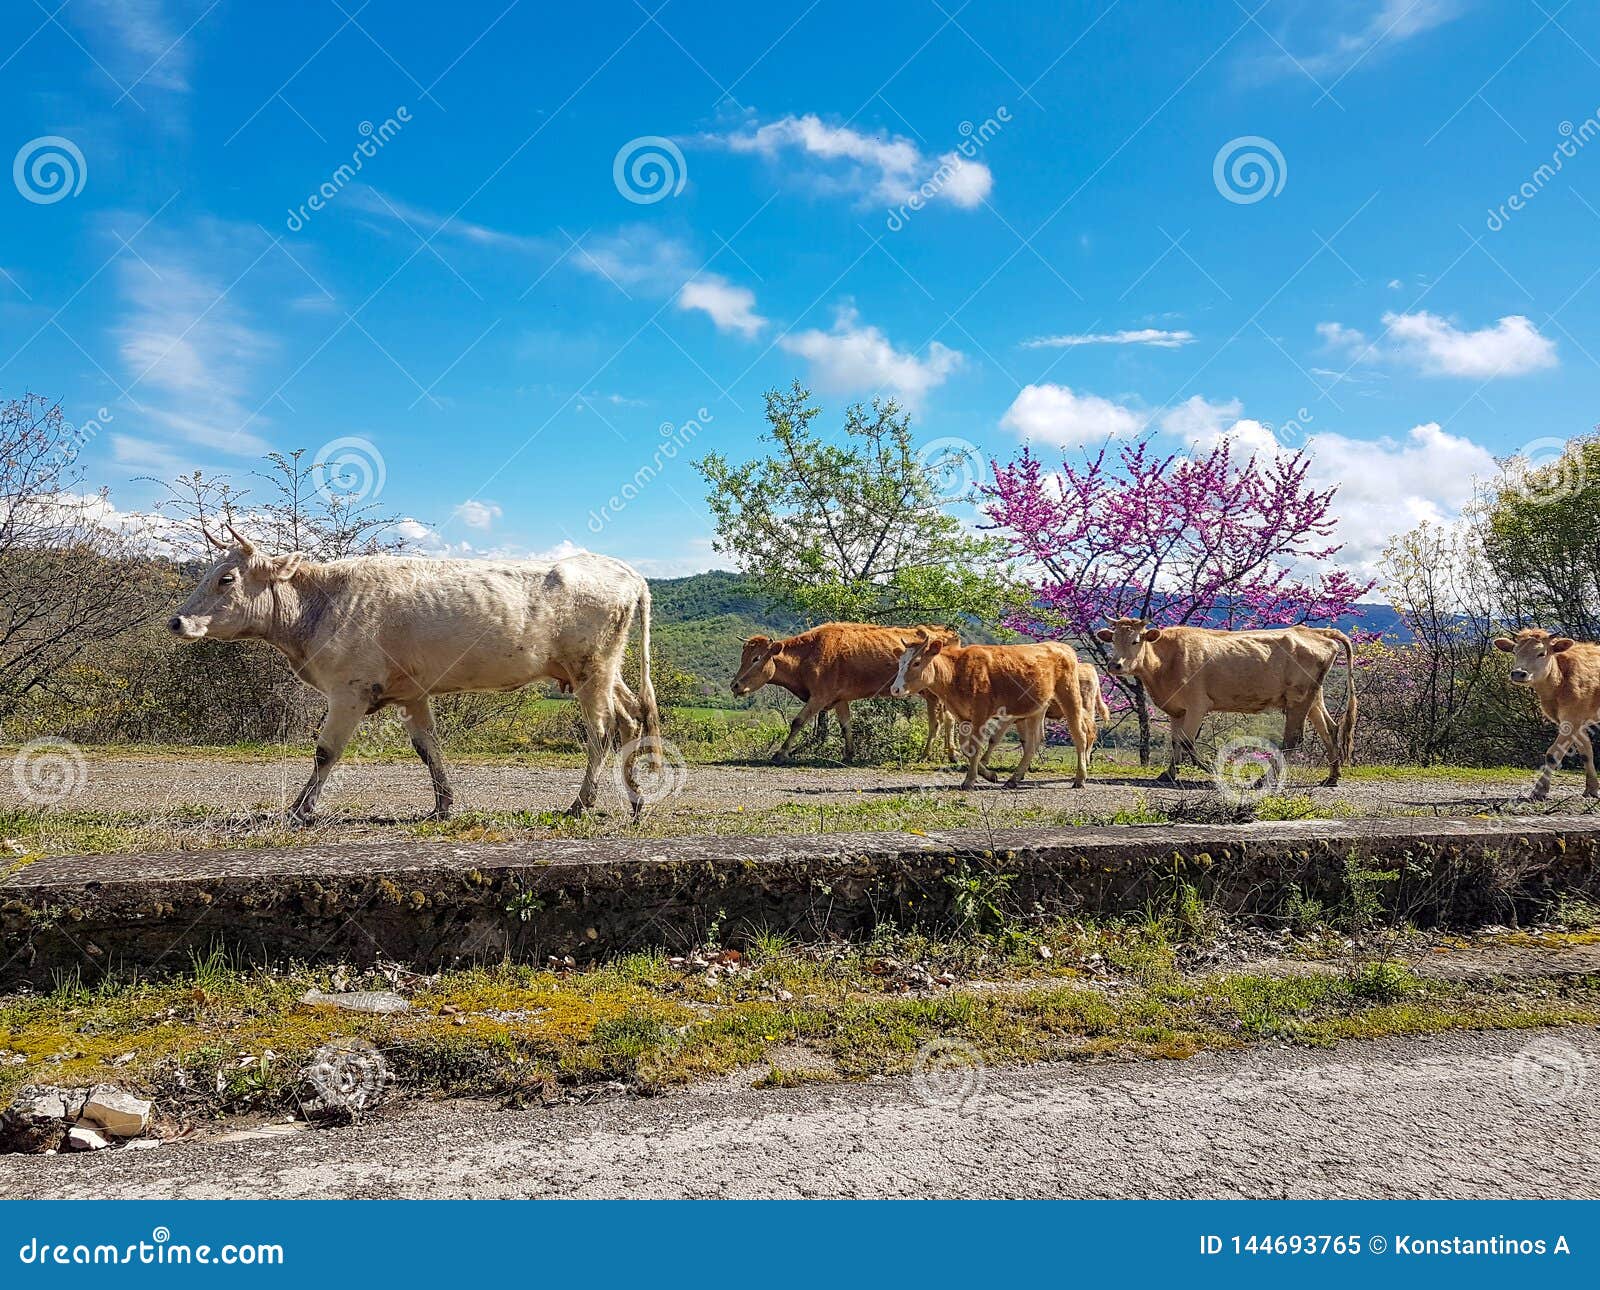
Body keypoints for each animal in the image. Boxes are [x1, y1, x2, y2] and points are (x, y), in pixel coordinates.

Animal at [169, 526, 662, 822]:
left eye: (227, 579)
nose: (176, 622)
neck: (317, 606)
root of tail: (627, 571)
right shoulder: (412, 693)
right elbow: (429, 750)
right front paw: (443, 807)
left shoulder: (348, 690)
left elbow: (326, 753)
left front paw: (299, 811)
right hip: (602, 669)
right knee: (632, 718)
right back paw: (635, 801)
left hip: (592, 668)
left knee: (602, 732)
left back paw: (582, 804)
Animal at [730, 623, 961, 763]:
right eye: (744, 657)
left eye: (756, 658)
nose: (735, 685)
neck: (808, 654)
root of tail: (945, 632)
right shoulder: (839, 698)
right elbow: (846, 726)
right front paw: (849, 755)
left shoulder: (819, 696)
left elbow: (797, 721)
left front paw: (780, 753)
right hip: (933, 694)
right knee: (944, 720)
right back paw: (943, 754)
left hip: (935, 693)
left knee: (941, 721)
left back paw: (935, 755)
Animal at [890, 632, 1091, 789]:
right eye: (900, 663)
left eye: (916, 662)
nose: (895, 689)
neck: (955, 672)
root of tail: (1061, 646)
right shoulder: (963, 716)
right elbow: (966, 747)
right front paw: (989, 774)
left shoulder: (981, 713)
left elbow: (975, 746)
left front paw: (969, 781)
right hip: (1037, 707)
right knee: (1034, 742)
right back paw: (1014, 778)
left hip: (1069, 694)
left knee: (1079, 735)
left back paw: (1080, 778)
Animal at [1094, 618, 1356, 787]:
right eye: (1113, 639)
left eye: (1136, 640)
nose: (1115, 665)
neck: (1164, 662)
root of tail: (1318, 632)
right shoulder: (1176, 709)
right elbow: (1176, 742)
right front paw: (1169, 774)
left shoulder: (1197, 705)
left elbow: (1187, 741)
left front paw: (1207, 767)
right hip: (1313, 697)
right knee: (1330, 729)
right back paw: (1332, 777)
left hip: (1298, 698)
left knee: (1294, 739)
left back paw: (1263, 780)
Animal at [1493, 629, 1600, 799]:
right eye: (1515, 652)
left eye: (1541, 653)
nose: (1518, 673)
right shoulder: (1577, 722)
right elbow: (1586, 752)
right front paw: (1592, 789)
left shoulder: (1572, 720)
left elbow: (1553, 754)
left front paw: (1539, 790)